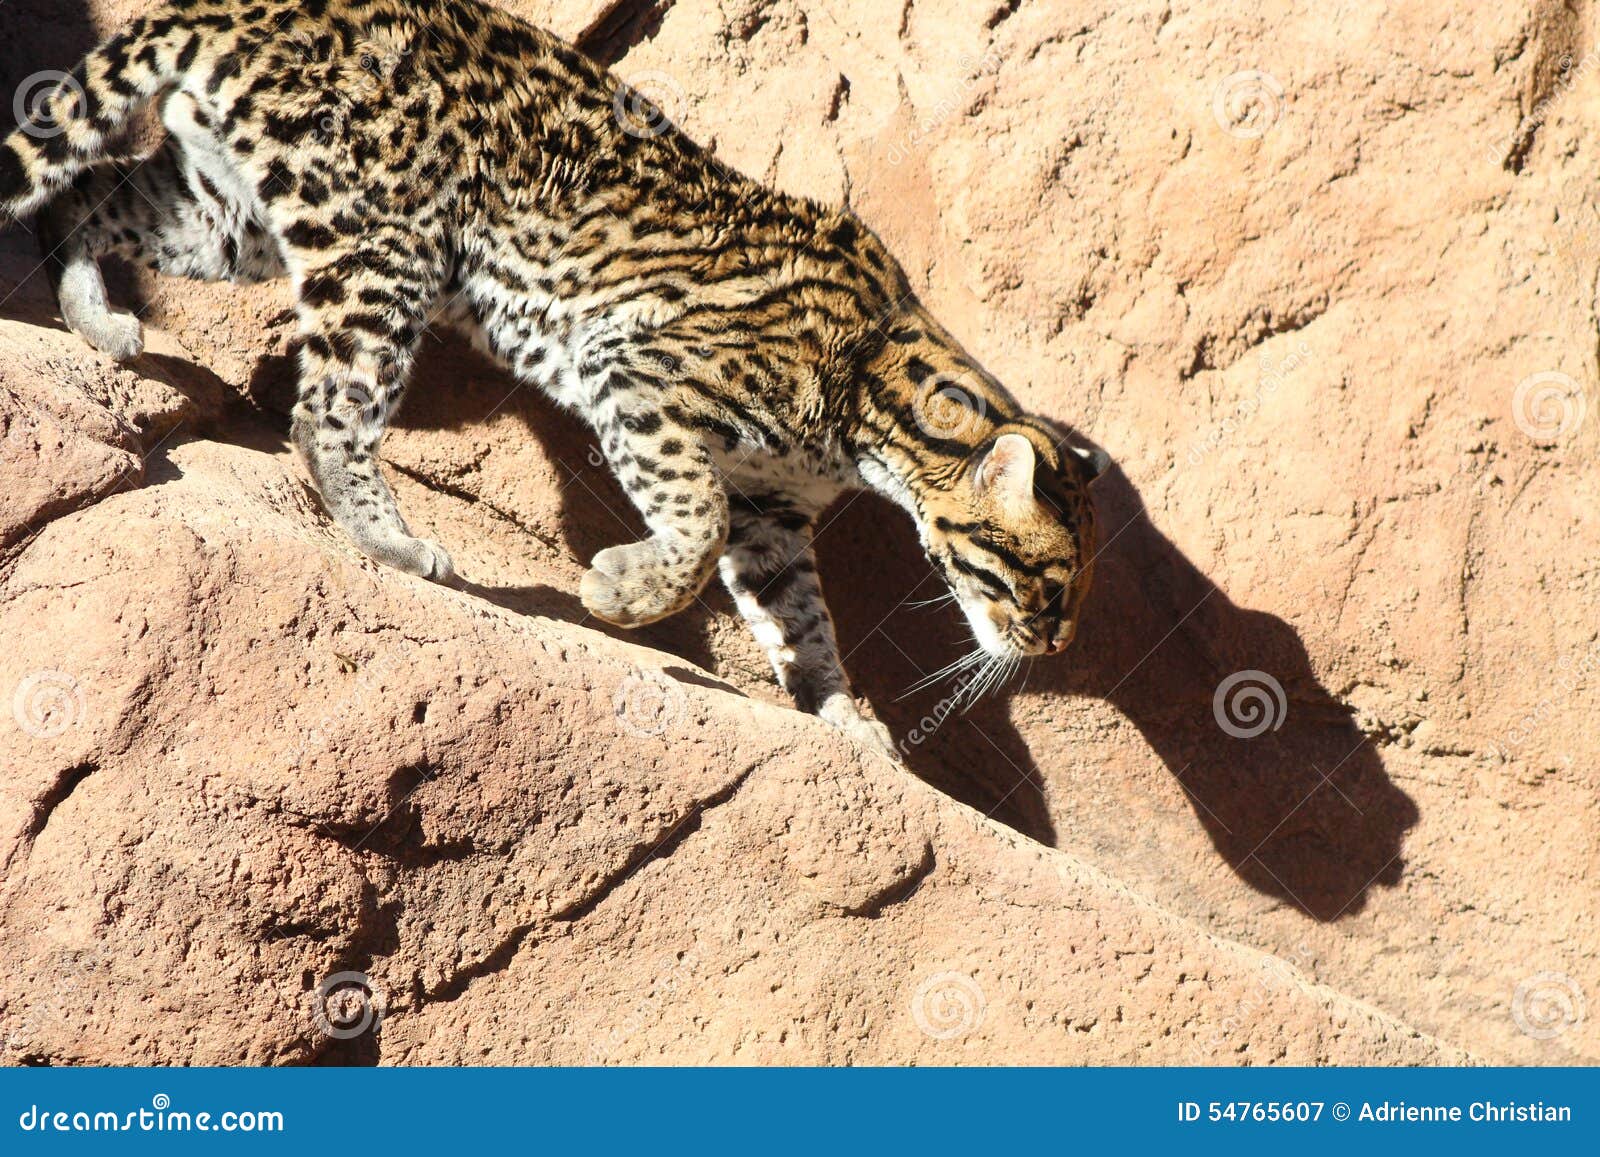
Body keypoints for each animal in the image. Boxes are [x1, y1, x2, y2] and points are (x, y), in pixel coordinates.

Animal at [0, 0, 1109, 759]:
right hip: (384, 242)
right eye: (1051, 580)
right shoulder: (639, 375)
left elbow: (799, 614)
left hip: (230, 216)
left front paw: (843, 714)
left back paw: (99, 319)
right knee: (328, 407)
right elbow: (693, 525)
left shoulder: (774, 510)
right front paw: (619, 589)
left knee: (99, 197)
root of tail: (247, 7)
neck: (879, 397)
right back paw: (394, 540)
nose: (1055, 646)